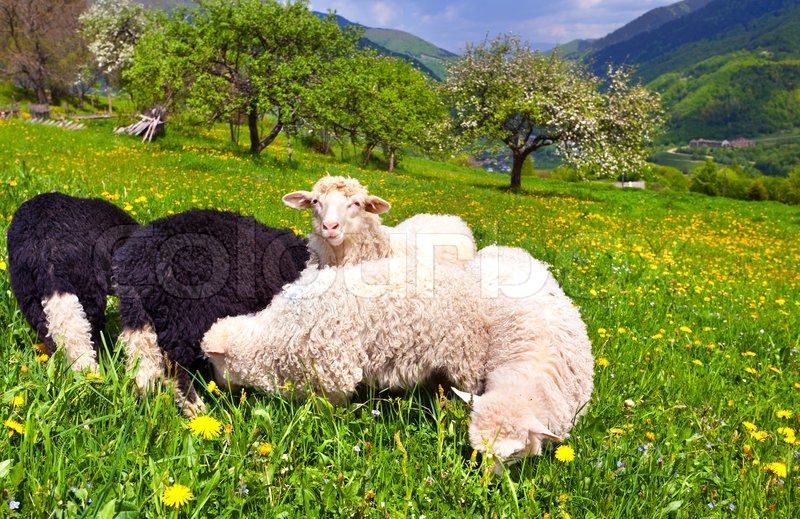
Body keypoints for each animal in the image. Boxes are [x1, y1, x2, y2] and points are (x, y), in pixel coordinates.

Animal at [112, 209, 309, 416]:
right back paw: (195, 407)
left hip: (141, 318)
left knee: (142, 363)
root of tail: (137, 264)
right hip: (186, 316)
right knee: (173, 366)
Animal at [200, 245, 594, 462]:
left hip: (463, 359)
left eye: (214, 364)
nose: (214, 392)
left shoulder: (334, 371)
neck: (275, 336)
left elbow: (329, 410)